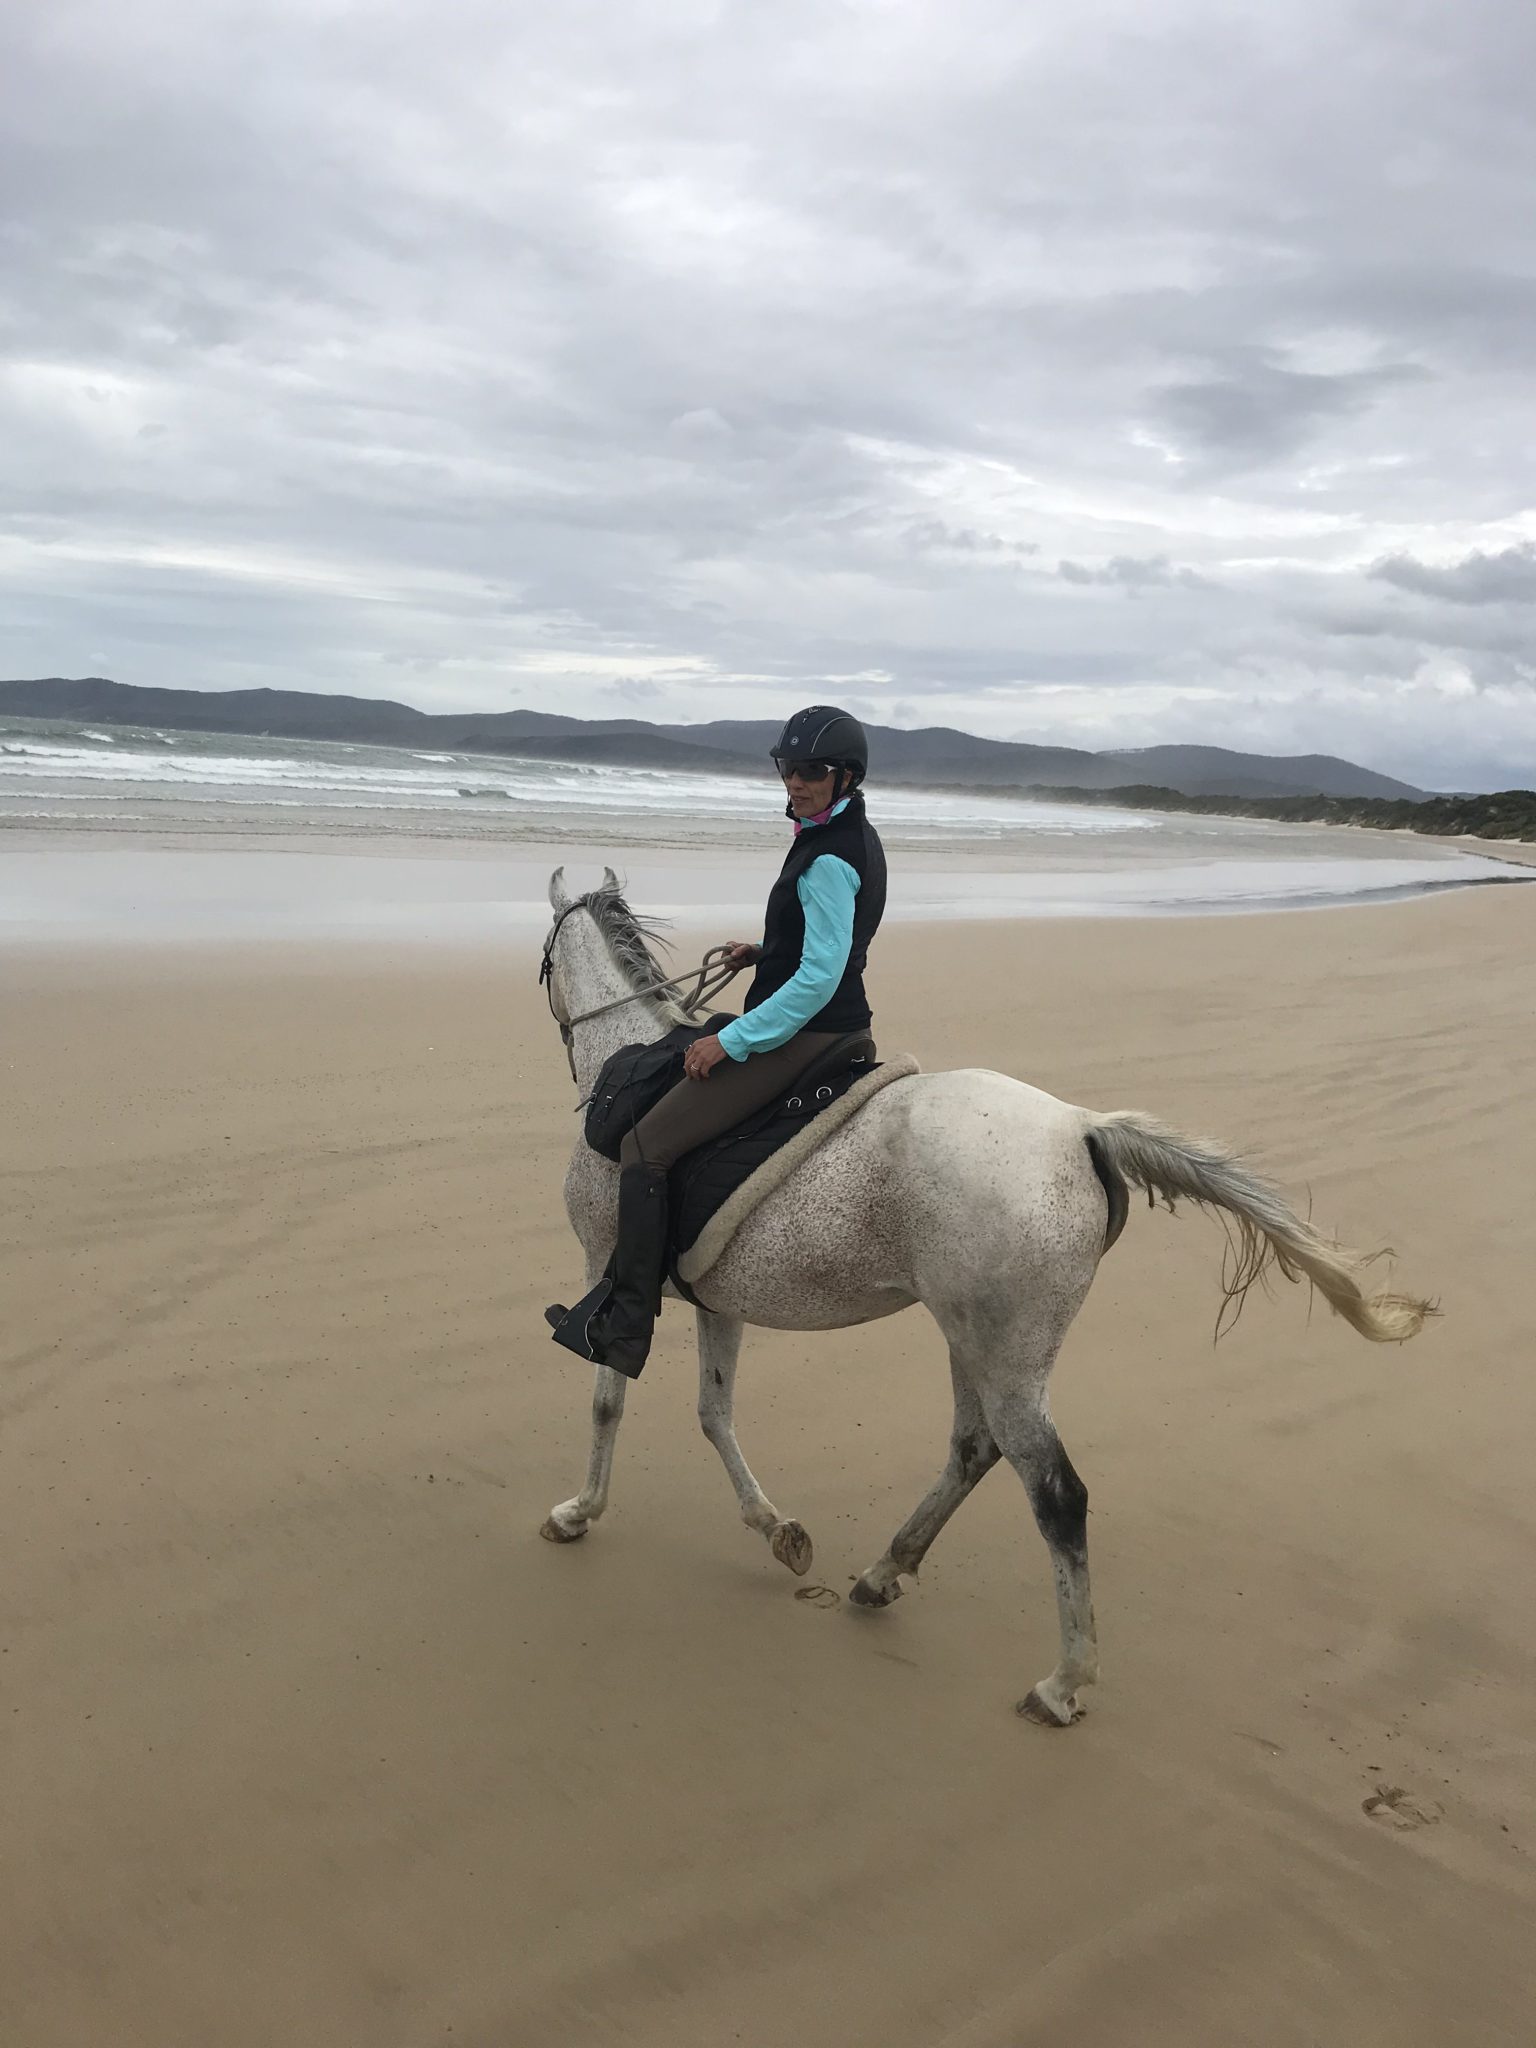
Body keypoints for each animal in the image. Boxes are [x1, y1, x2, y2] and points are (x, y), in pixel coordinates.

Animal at [537, 869, 1432, 1726]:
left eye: (544, 959)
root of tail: (1081, 1128)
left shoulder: (607, 1268)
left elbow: (610, 1400)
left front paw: (580, 1512)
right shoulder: (717, 1299)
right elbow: (713, 1413)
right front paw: (777, 1530)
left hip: (1003, 1354)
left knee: (1056, 1492)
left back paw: (1063, 1683)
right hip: (974, 1338)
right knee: (974, 1449)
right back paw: (882, 1574)